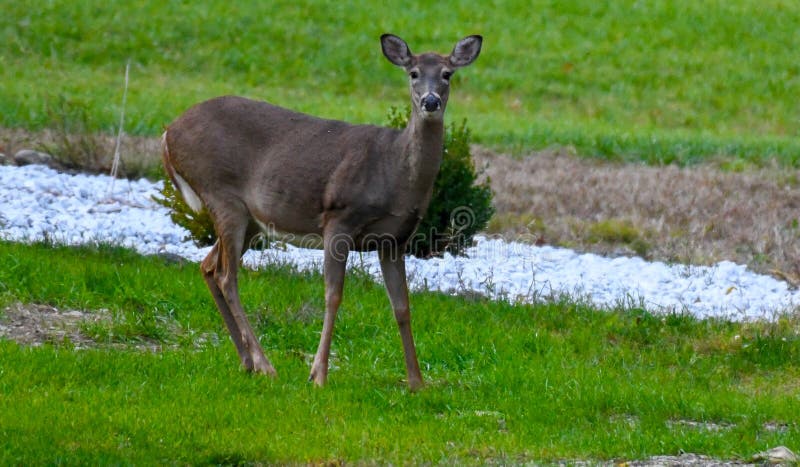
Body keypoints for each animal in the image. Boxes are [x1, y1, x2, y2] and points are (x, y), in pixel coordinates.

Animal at [161, 34, 482, 391]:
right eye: (413, 73)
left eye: (447, 74)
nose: (430, 102)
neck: (394, 172)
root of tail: (167, 133)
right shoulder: (338, 219)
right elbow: (333, 295)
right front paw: (318, 374)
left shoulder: (394, 239)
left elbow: (402, 305)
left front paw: (416, 382)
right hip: (221, 194)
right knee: (227, 276)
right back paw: (265, 364)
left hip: (251, 220)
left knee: (207, 266)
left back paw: (247, 362)